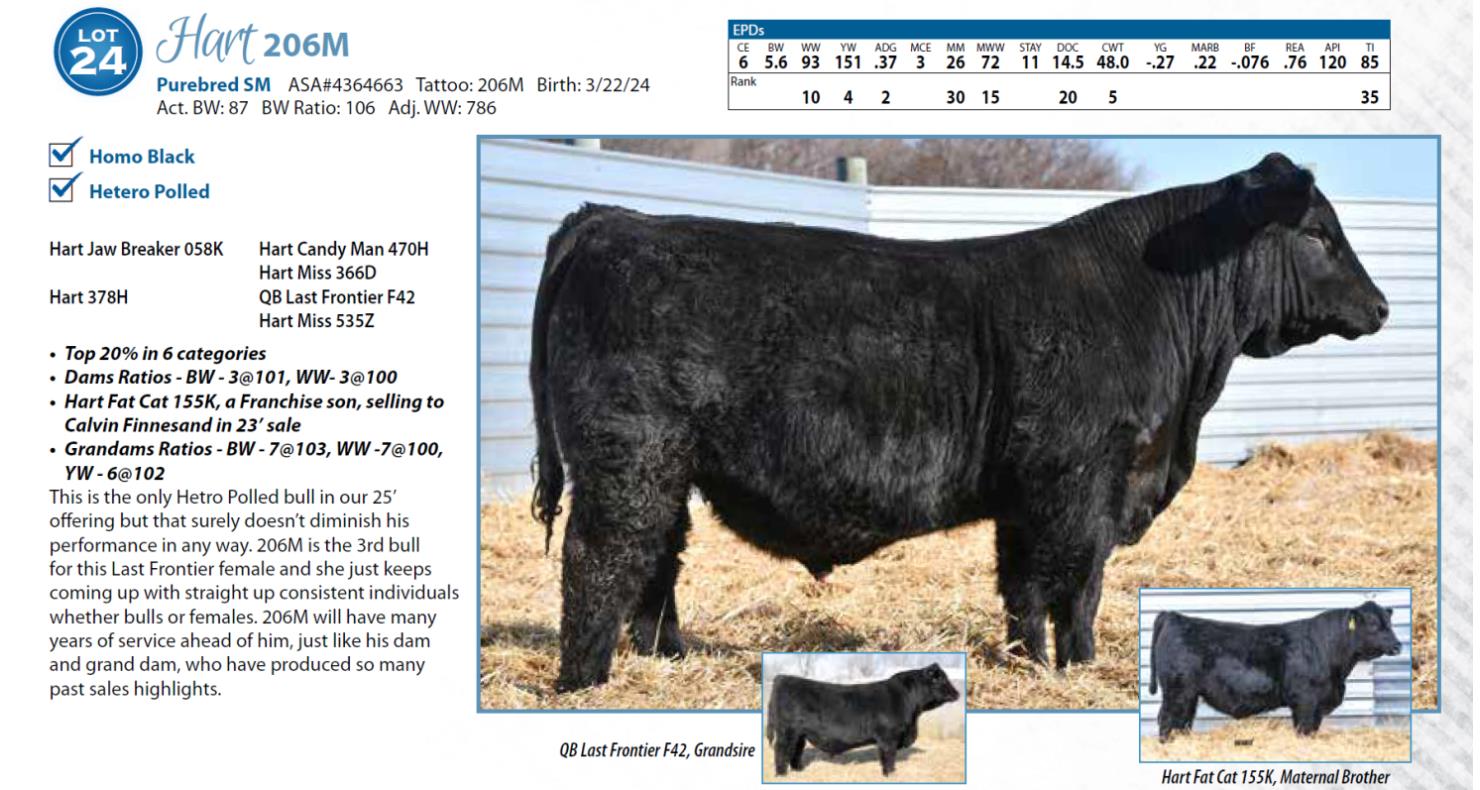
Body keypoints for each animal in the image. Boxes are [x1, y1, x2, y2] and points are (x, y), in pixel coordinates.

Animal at [528, 153, 1390, 691]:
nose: (1380, 306)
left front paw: (1029, 661)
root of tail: (612, 220)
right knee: (600, 558)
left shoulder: (1029, 494)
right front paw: (1078, 666)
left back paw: (665, 661)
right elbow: (1079, 585)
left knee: (656, 563)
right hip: (629, 456)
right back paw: (585, 680)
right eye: (1317, 232)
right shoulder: (1084, 482)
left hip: (670, 468)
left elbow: (1023, 586)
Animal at [766, 663, 961, 776]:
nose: (957, 693)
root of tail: (782, 677)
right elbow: (889, 756)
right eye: (941, 679)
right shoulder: (888, 737)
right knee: (781, 751)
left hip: (800, 734)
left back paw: (798, 771)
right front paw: (890, 774)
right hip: (787, 731)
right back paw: (781, 774)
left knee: (795, 751)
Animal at [1149, 601, 1404, 739]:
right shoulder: (1306, 700)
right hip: (1177, 689)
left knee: (1182, 720)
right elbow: (1305, 728)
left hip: (1188, 694)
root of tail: (1174, 616)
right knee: (1167, 718)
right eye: (1374, 625)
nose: (1398, 645)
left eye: (1389, 624)